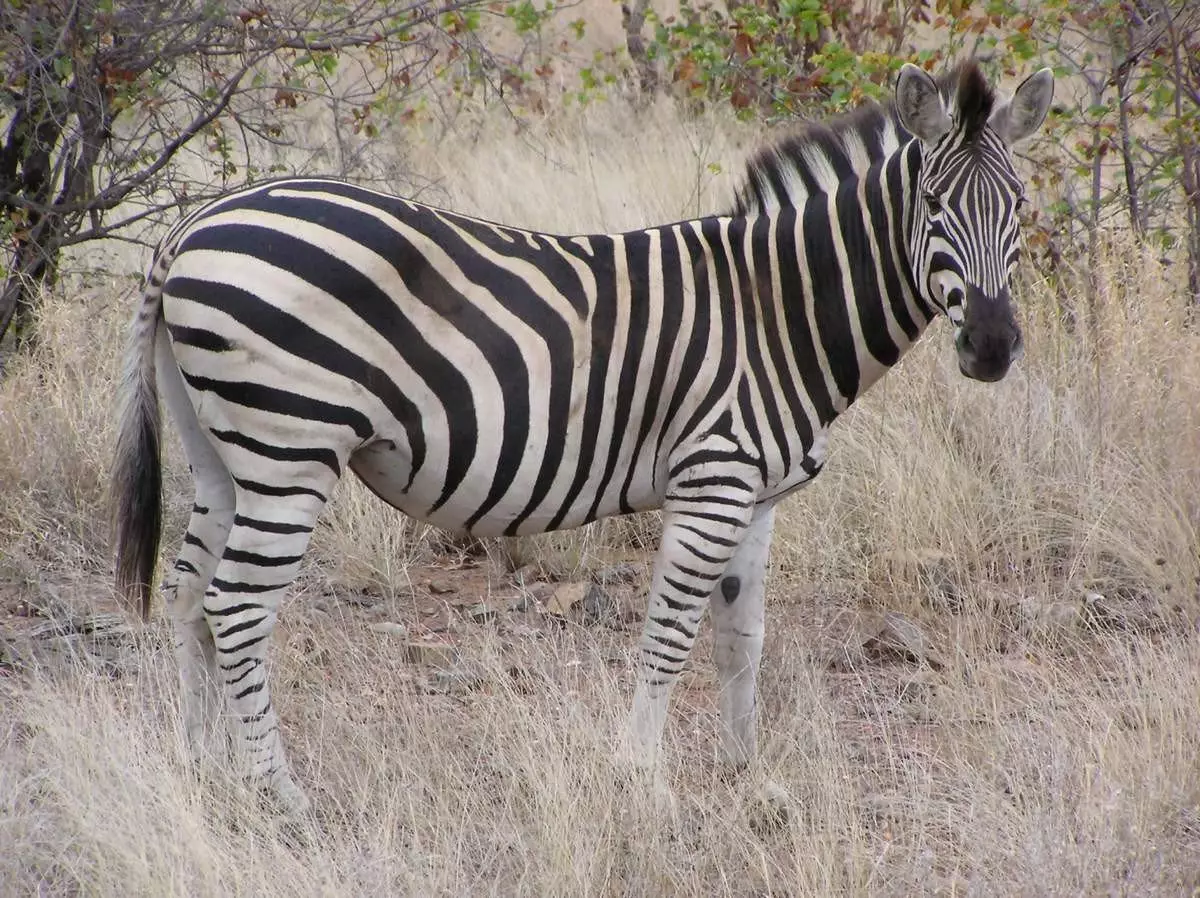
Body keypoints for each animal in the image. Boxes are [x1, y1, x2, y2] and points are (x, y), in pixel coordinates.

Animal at [112, 59, 1051, 816]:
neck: (774, 310)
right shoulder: (712, 482)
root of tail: (190, 228)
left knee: (190, 595)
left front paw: (750, 780)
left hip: (222, 452)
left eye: (1021, 206)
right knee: (237, 607)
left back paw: (201, 770)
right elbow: (670, 634)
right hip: (290, 449)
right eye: (933, 204)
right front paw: (643, 779)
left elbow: (740, 641)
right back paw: (280, 793)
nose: (994, 346)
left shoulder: (756, 496)